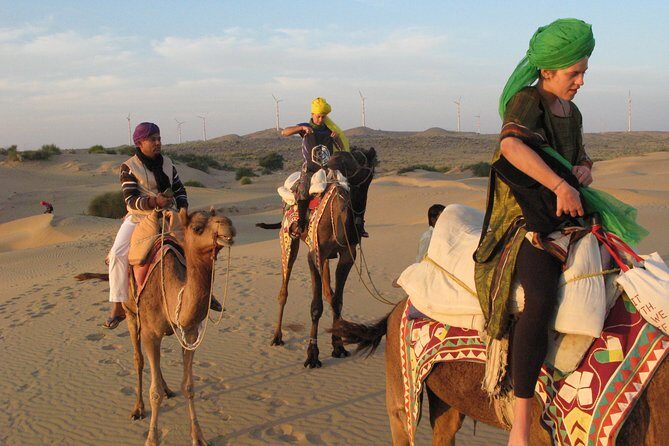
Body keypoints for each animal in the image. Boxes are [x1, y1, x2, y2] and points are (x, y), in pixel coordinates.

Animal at [78, 208, 235, 446]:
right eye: (198, 227)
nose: (228, 226)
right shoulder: (150, 333)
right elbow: (154, 392)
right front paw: (152, 439)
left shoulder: (189, 332)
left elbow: (188, 386)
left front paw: (198, 436)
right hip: (132, 315)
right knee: (139, 359)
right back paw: (138, 408)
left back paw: (168, 389)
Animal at [258, 148, 376, 368]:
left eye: (359, 163)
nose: (329, 164)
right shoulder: (313, 255)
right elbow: (315, 307)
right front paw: (312, 355)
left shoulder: (347, 255)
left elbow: (337, 301)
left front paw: (338, 346)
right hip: (288, 241)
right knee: (283, 290)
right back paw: (277, 337)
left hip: (326, 256)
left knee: (329, 292)